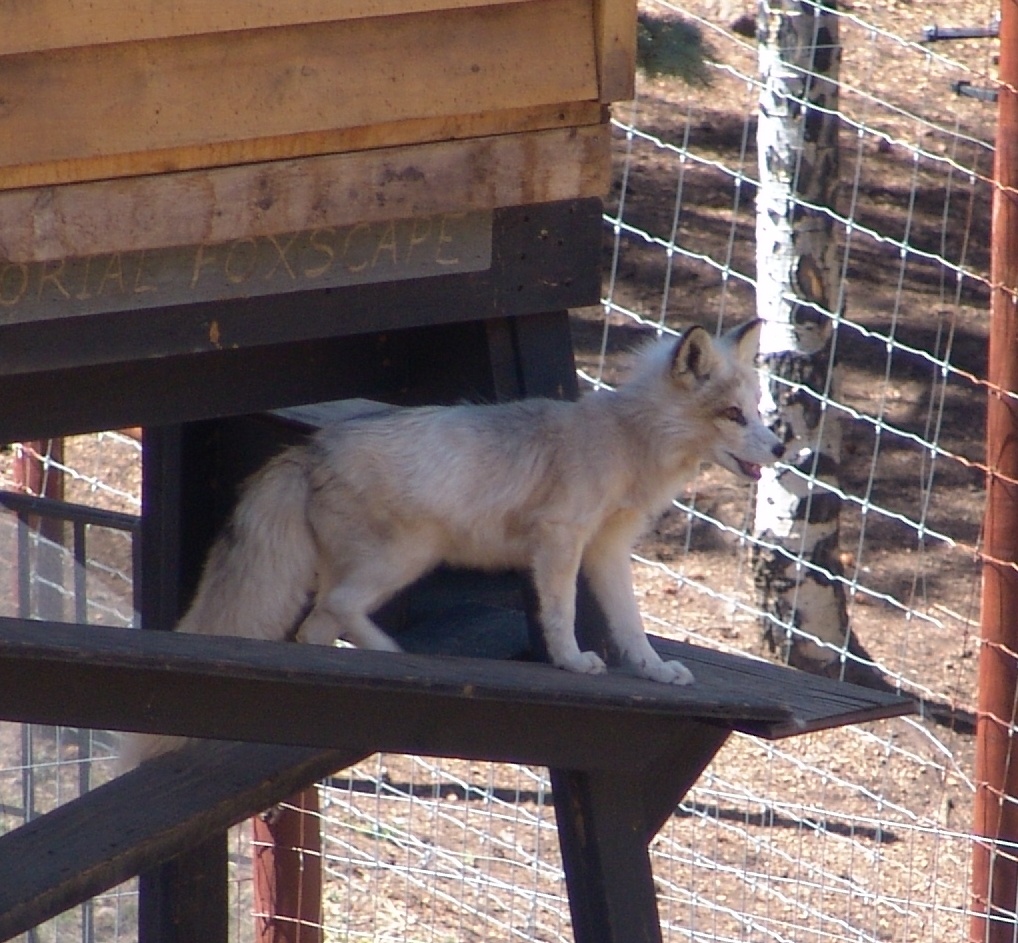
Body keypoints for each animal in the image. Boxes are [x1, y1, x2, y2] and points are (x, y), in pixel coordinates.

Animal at [121, 319, 784, 766]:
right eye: (732, 414)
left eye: (757, 411)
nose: (781, 448)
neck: (628, 443)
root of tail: (309, 448)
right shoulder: (560, 538)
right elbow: (562, 614)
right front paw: (571, 662)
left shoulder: (606, 550)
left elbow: (631, 626)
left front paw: (652, 671)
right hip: (407, 558)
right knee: (333, 611)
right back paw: (393, 657)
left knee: (316, 627)